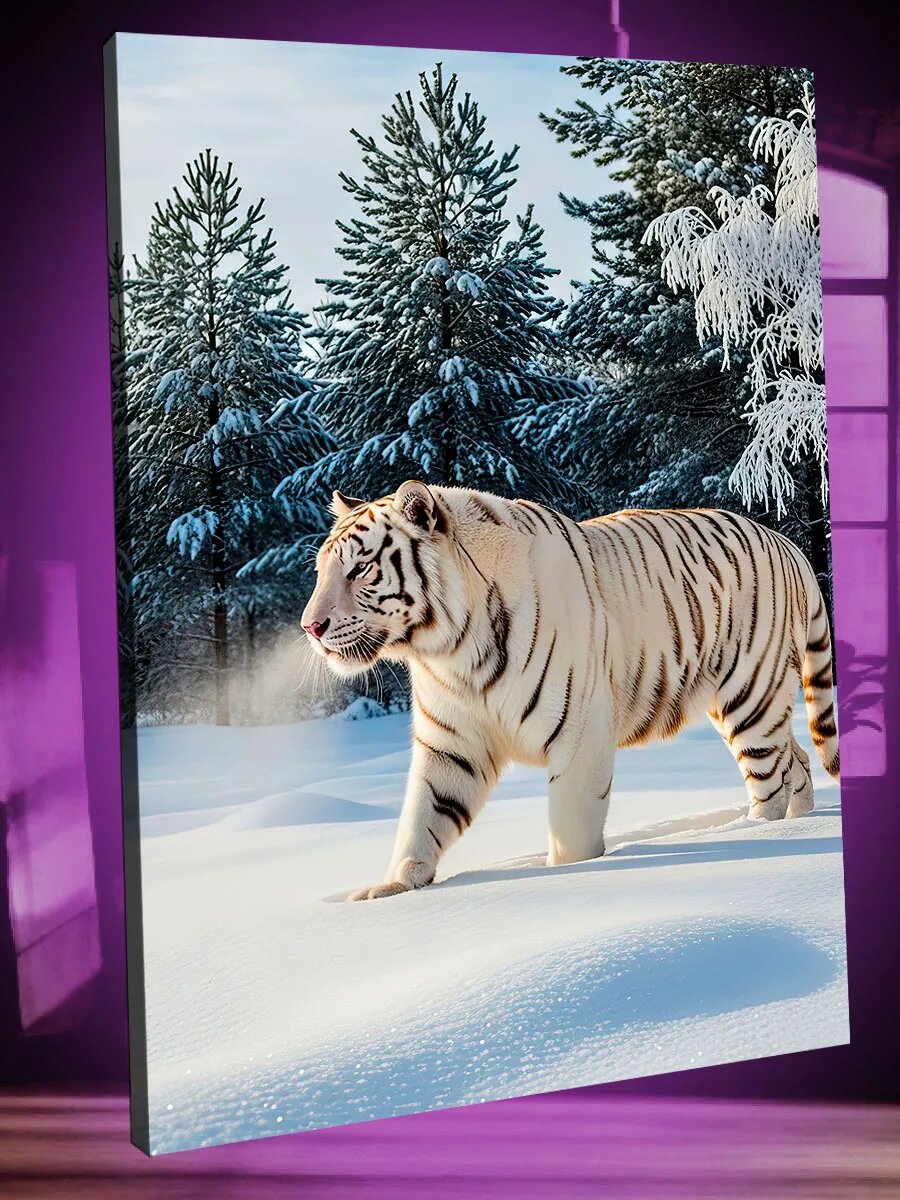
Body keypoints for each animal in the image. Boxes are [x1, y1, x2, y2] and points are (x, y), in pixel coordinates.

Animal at [300, 479, 840, 901]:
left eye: (360, 569)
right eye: (321, 571)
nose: (310, 627)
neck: (449, 649)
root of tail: (785, 542)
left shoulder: (579, 731)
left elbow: (570, 831)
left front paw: (568, 876)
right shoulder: (451, 742)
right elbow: (423, 818)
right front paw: (392, 887)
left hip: (749, 692)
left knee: (770, 777)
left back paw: (757, 831)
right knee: (795, 758)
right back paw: (800, 819)